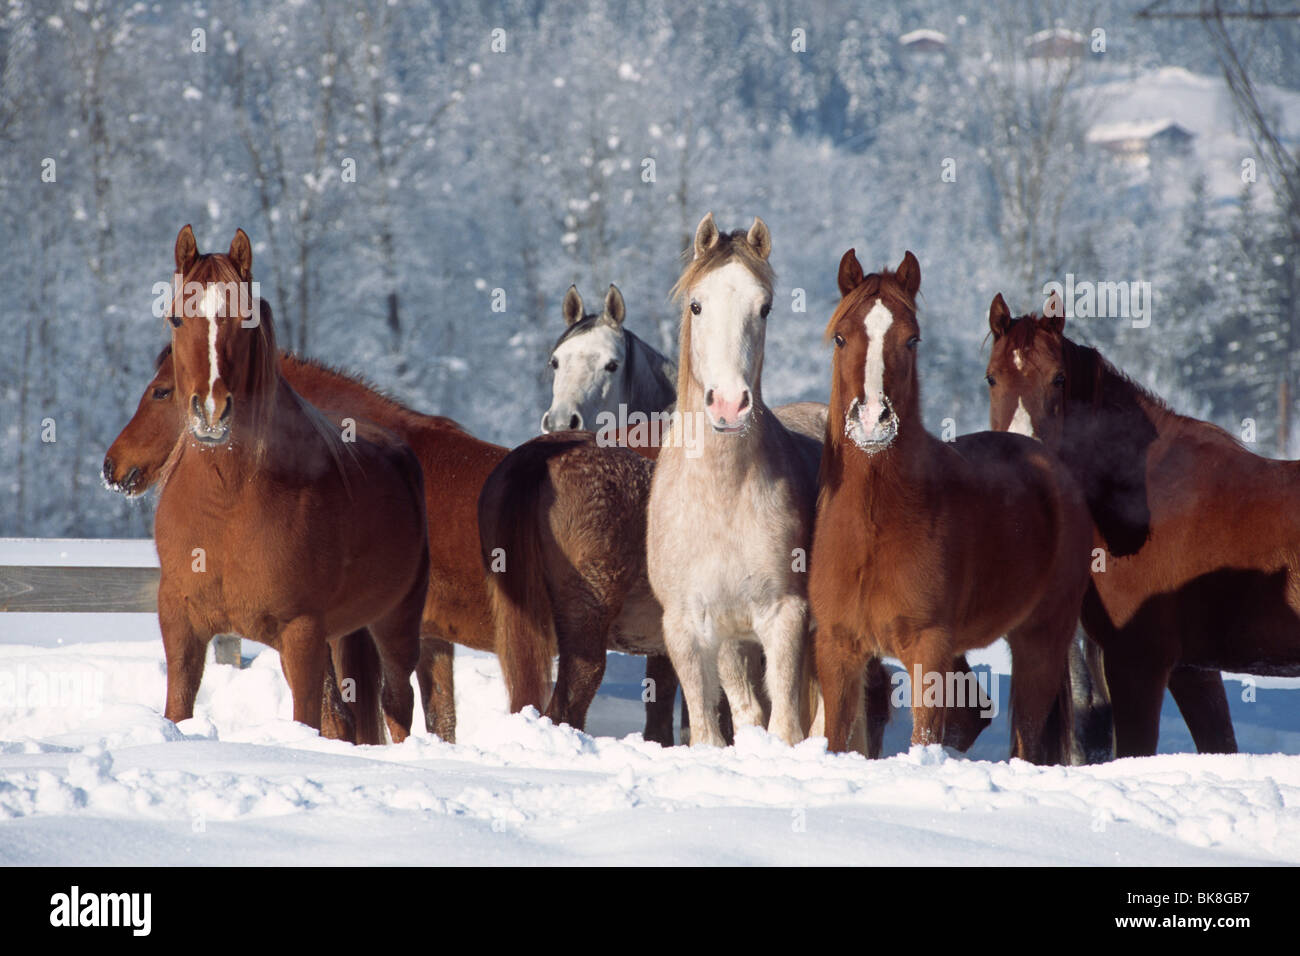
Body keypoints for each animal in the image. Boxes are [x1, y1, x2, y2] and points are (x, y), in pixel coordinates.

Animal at [153, 225, 428, 741]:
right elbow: (177, 709)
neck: (225, 501)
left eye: (244, 319)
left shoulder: (301, 633)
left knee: (398, 702)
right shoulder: (180, 623)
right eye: (177, 318)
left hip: (396, 620)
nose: (212, 412)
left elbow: (308, 718)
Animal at [809, 249, 1092, 763]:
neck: (873, 525)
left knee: (1026, 734)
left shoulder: (930, 649)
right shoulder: (838, 649)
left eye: (912, 338)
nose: (872, 420)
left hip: (1040, 640)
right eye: (841, 337)